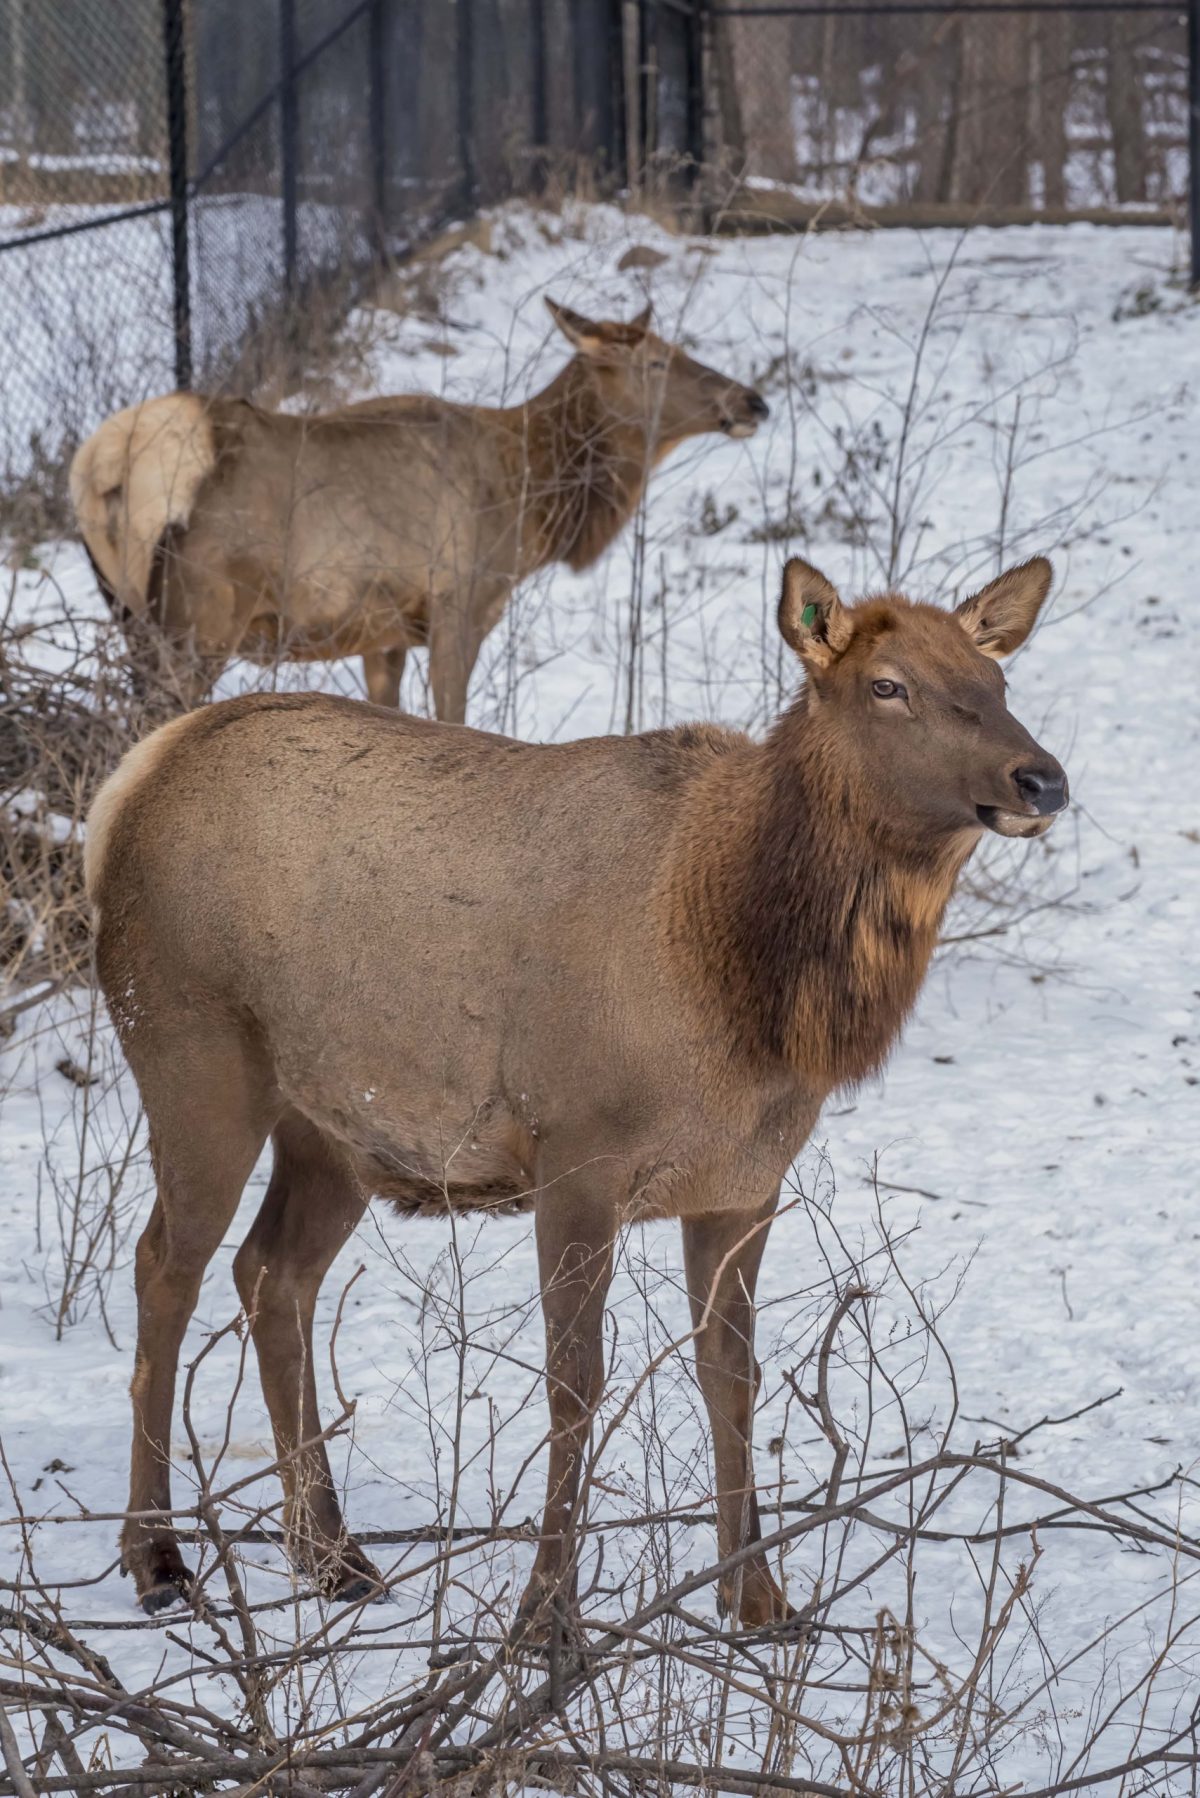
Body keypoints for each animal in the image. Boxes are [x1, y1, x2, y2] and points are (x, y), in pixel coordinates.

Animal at [69, 301, 768, 720]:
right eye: (657, 361)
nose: (753, 400)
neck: (529, 502)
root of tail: (100, 466)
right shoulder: (460, 602)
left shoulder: (385, 631)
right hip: (198, 619)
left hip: (128, 614)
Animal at [86, 552, 1068, 1622]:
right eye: (888, 686)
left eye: (997, 679)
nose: (1042, 778)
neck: (737, 971)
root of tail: (127, 787)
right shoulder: (575, 1152)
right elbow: (575, 1380)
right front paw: (545, 1615)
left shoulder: (744, 1182)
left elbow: (733, 1373)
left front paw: (757, 1601)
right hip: (191, 1052)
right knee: (165, 1267)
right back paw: (158, 1559)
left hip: (335, 1128)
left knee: (273, 1274)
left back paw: (333, 1556)